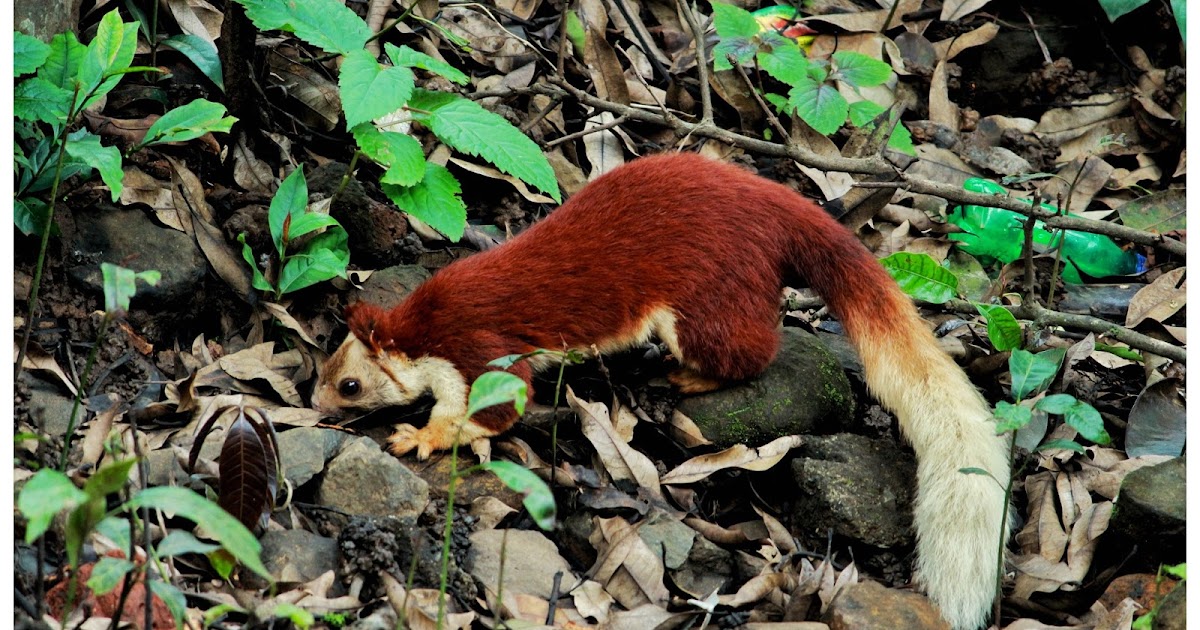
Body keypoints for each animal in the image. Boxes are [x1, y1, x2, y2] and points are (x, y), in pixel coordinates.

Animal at [312, 153, 1010, 630]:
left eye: (349, 384)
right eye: (322, 369)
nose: (315, 406)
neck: (428, 325)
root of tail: (776, 202)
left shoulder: (480, 345)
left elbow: (501, 403)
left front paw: (420, 434)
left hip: (705, 298)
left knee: (753, 348)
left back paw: (686, 374)